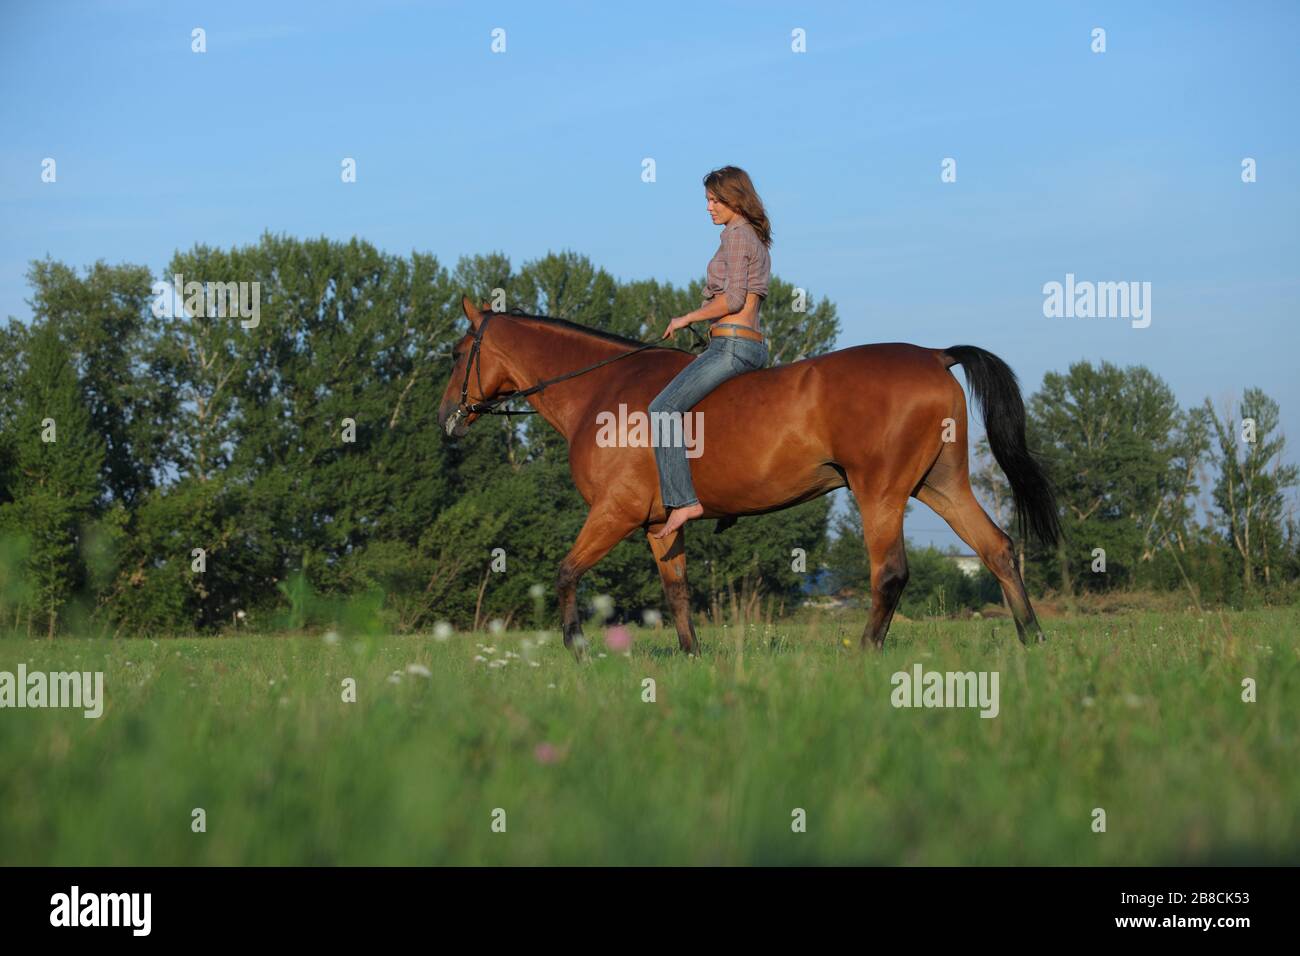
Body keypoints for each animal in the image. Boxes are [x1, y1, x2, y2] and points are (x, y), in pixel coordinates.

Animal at [437, 296, 1060, 659]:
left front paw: (578, 649)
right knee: (997, 548)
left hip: (880, 492)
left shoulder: (614, 513)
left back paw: (863, 651)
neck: (601, 389)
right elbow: (678, 590)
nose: (446, 417)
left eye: (458, 352)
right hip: (941, 485)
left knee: (891, 573)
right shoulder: (660, 525)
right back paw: (1032, 638)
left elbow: (566, 572)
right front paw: (691, 655)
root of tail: (933, 355)